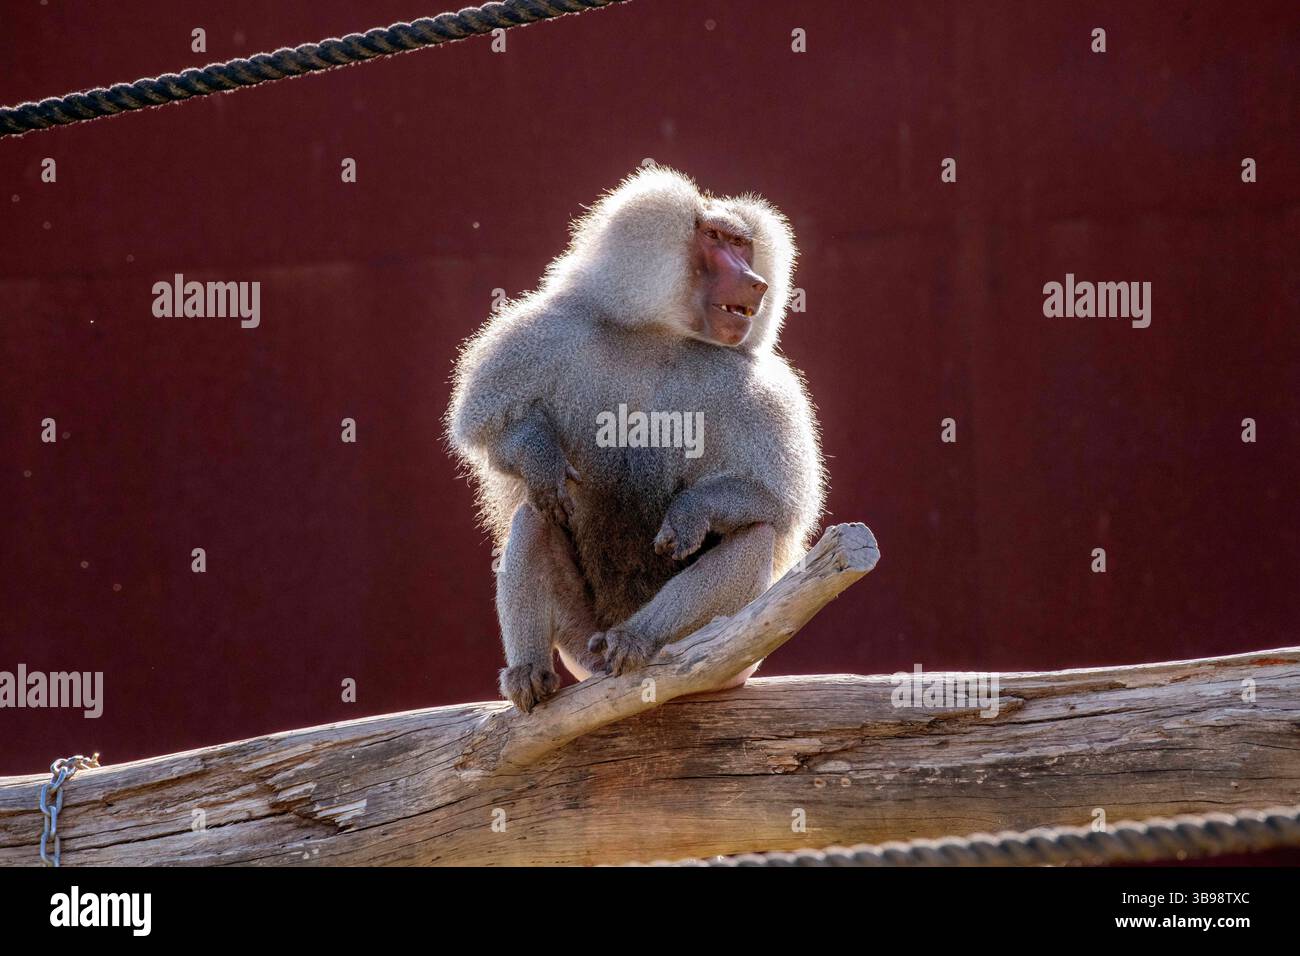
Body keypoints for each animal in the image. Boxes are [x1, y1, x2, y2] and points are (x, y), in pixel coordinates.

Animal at [446, 166, 825, 712]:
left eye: (742, 244)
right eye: (715, 238)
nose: (757, 282)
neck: (659, 335)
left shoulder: (759, 388)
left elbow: (780, 501)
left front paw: (689, 514)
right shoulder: (549, 332)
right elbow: (492, 431)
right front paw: (541, 457)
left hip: (730, 648)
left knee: (755, 535)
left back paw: (636, 639)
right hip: (579, 638)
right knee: (537, 512)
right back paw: (529, 673)